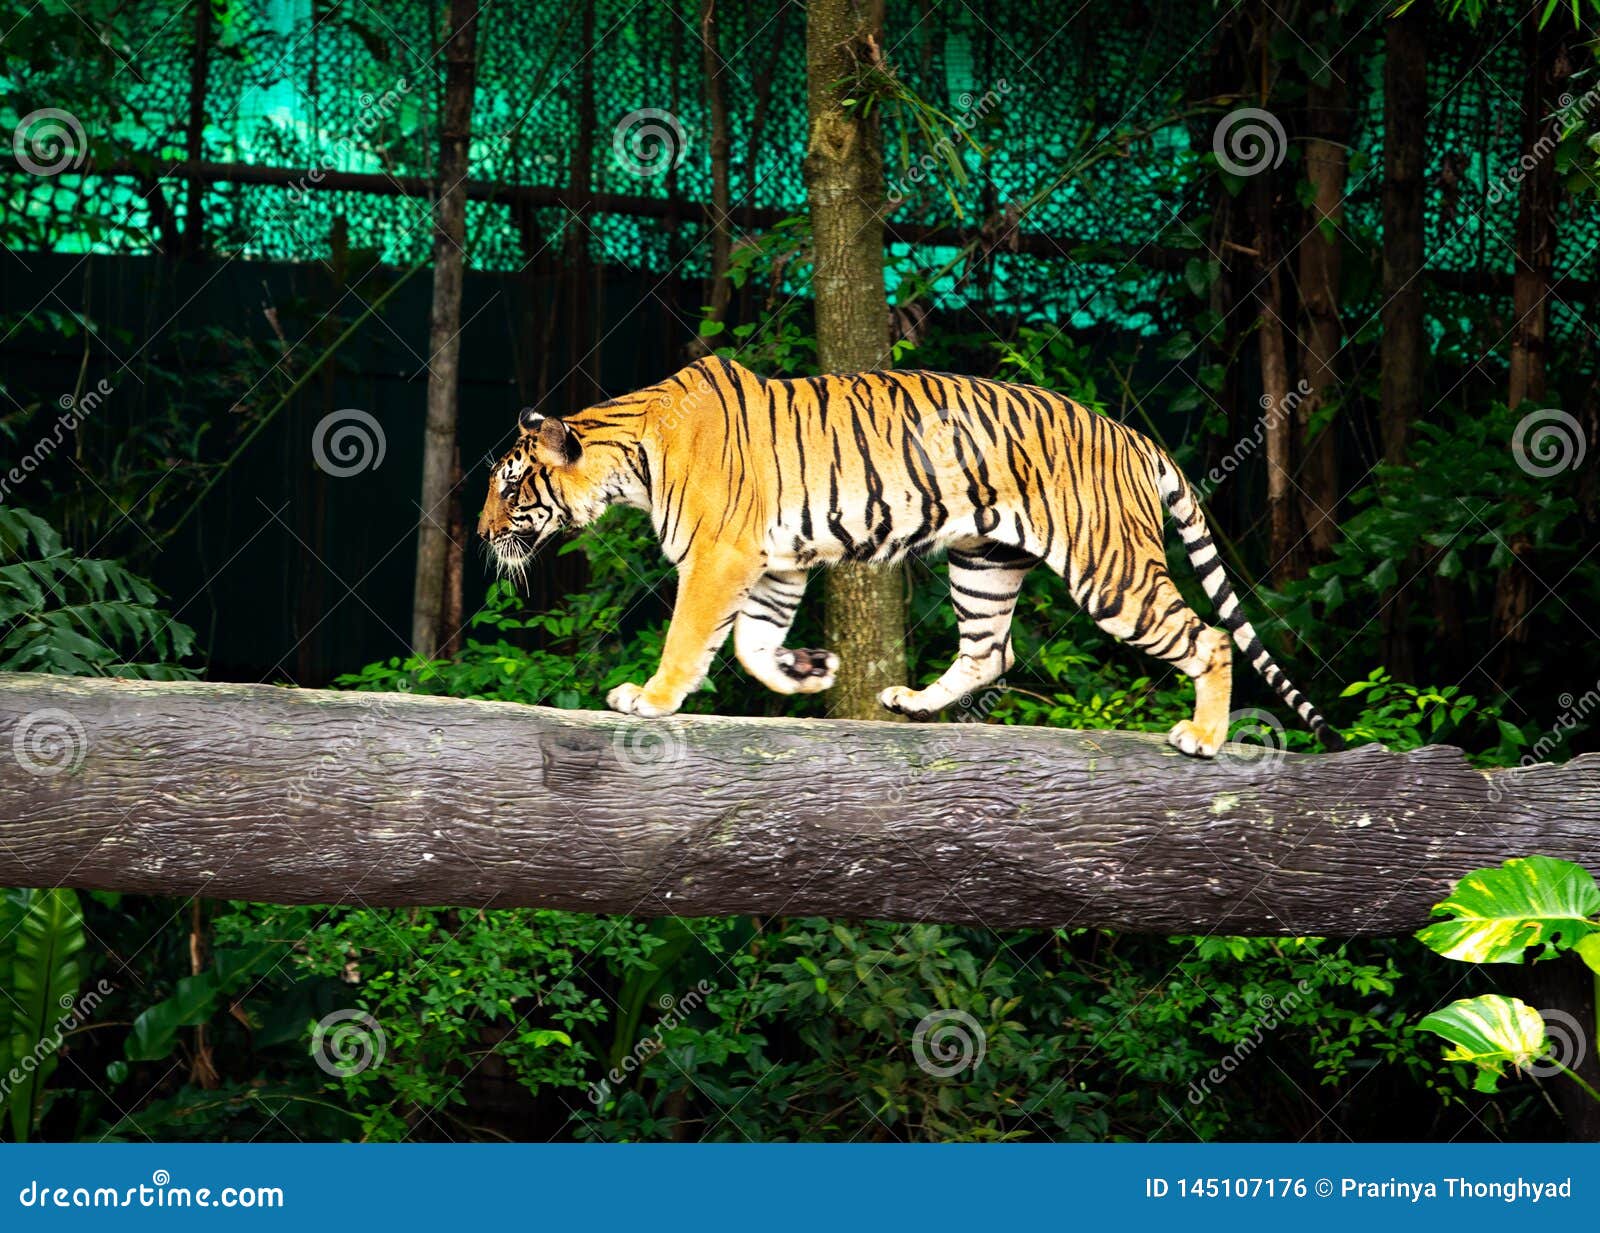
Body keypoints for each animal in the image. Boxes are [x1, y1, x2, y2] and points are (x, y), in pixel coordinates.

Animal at [477, 356, 1340, 757]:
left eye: (510, 484)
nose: (483, 534)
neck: (630, 449)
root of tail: (1131, 434)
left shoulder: (719, 555)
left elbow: (691, 637)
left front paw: (650, 698)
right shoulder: (777, 560)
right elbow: (754, 641)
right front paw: (808, 671)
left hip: (1110, 569)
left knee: (1210, 636)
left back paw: (1205, 737)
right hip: (985, 560)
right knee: (991, 650)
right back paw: (915, 703)